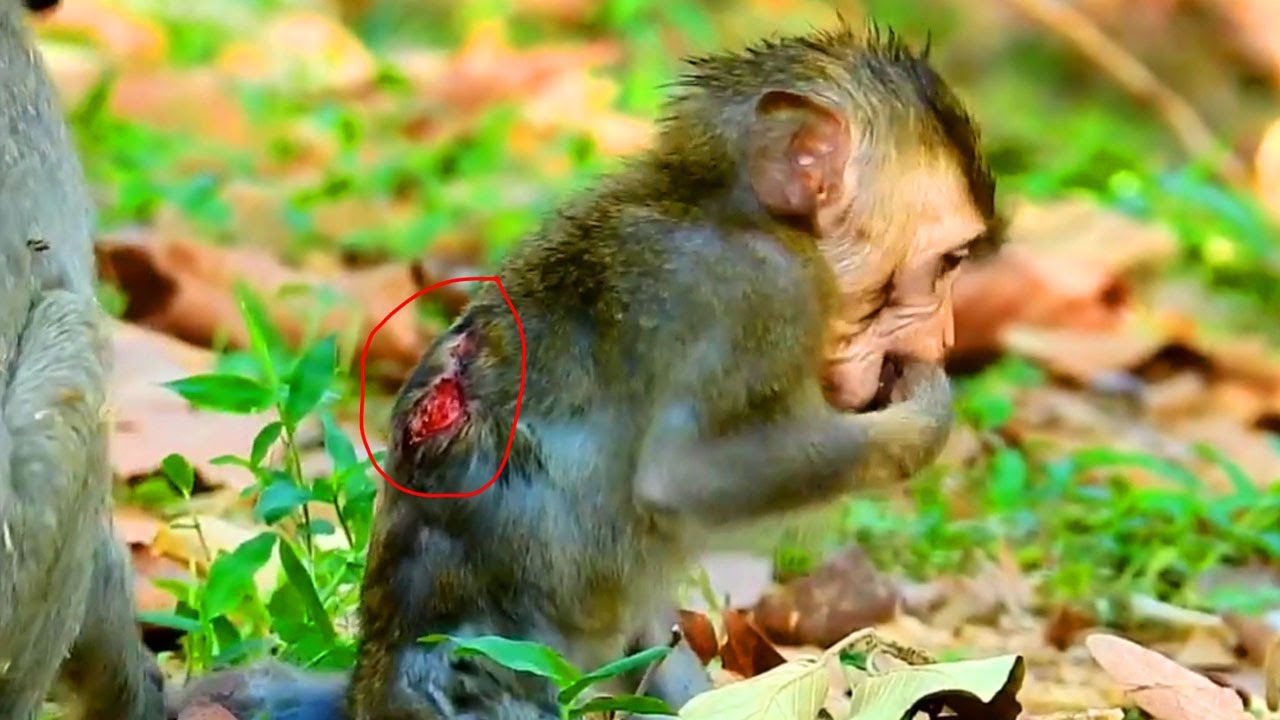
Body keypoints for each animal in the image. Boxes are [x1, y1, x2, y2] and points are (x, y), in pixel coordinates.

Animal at [168, 22, 998, 720]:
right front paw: (925, 415)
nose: (949, 335)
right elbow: (684, 475)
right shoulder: (760, 294)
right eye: (947, 262)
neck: (735, 211)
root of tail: (370, 686)